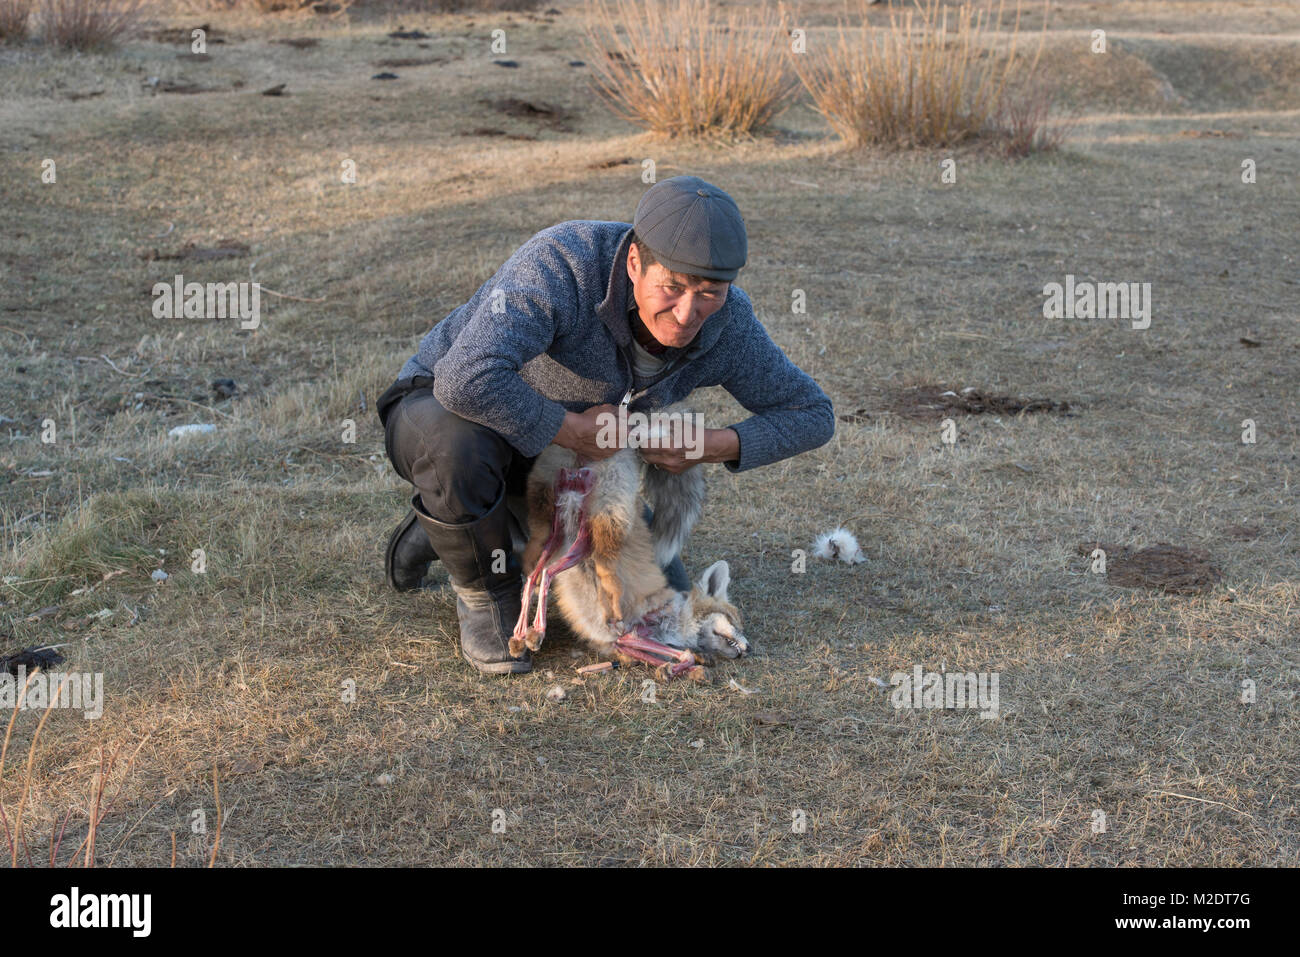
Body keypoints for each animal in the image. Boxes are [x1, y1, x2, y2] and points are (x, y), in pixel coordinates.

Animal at [512, 405, 750, 676]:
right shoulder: (640, 624)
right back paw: (537, 632)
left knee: (535, 573)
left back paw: (520, 636)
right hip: (597, 530)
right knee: (552, 571)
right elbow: (682, 653)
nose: (748, 649)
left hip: (555, 532)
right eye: (734, 621)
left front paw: (681, 666)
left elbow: (656, 654)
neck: (681, 618)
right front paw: (684, 666)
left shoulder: (627, 642)